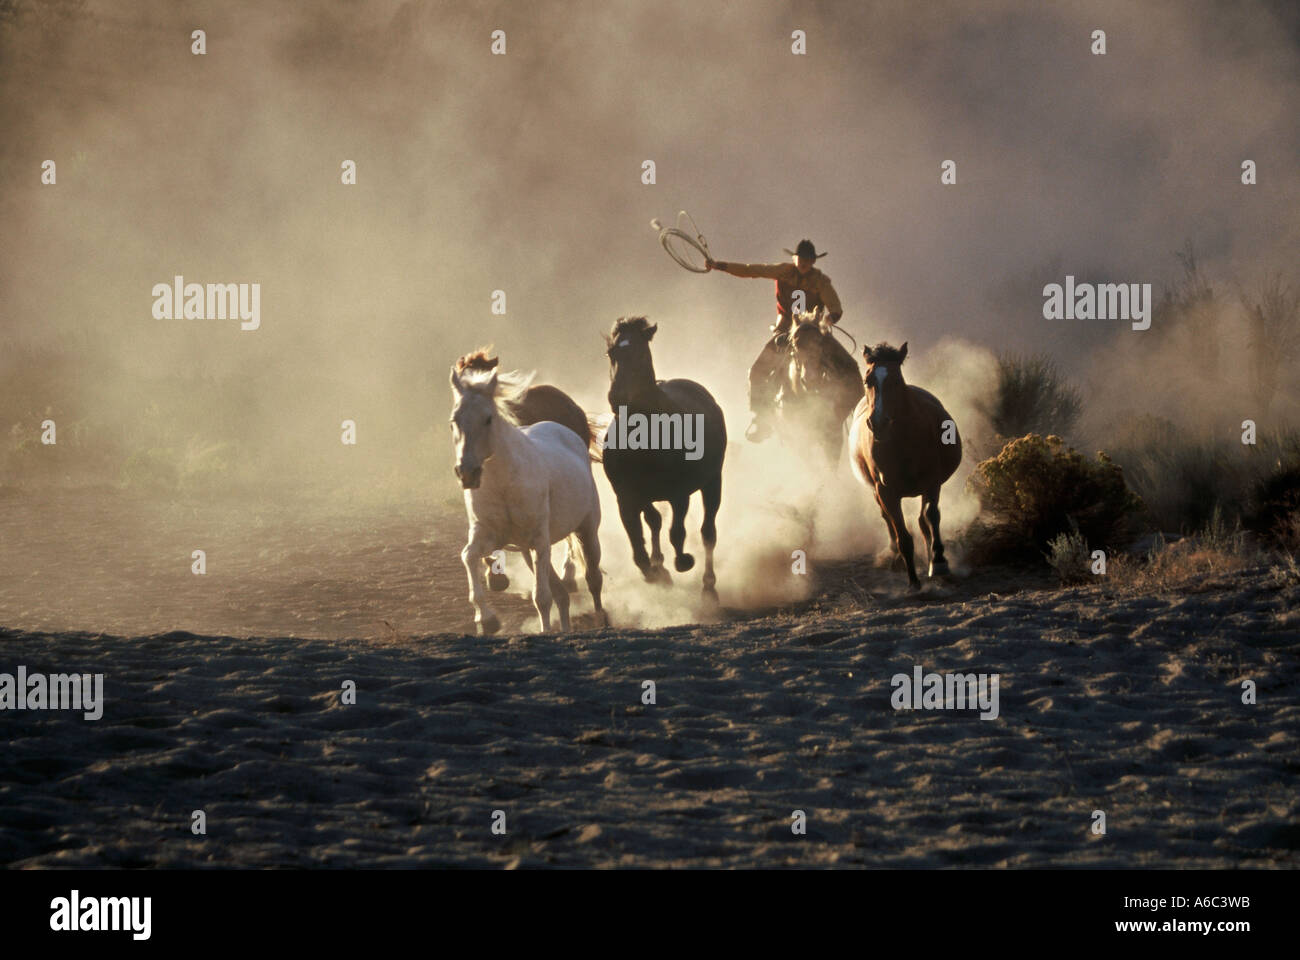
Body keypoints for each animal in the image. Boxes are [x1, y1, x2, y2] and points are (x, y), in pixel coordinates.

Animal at [449, 363, 604, 634]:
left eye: (488, 418)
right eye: (454, 420)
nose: (467, 473)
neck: (504, 485)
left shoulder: (540, 540)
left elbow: (541, 597)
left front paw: (544, 630)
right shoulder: (488, 535)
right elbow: (468, 556)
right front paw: (486, 620)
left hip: (586, 530)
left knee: (593, 579)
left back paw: (601, 619)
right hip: (527, 550)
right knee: (562, 594)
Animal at [601, 317, 726, 601]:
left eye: (639, 353)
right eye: (611, 353)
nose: (616, 398)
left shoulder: (679, 493)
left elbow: (677, 533)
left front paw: (682, 562)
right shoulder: (626, 497)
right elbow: (639, 543)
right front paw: (657, 573)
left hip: (713, 481)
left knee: (708, 532)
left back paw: (709, 586)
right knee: (655, 521)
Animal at [849, 341, 962, 588]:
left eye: (896, 381)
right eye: (867, 381)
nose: (878, 423)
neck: (902, 440)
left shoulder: (932, 481)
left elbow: (931, 516)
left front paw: (939, 562)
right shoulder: (885, 491)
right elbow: (901, 534)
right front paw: (913, 580)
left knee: (923, 521)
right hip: (876, 492)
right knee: (888, 520)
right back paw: (898, 559)